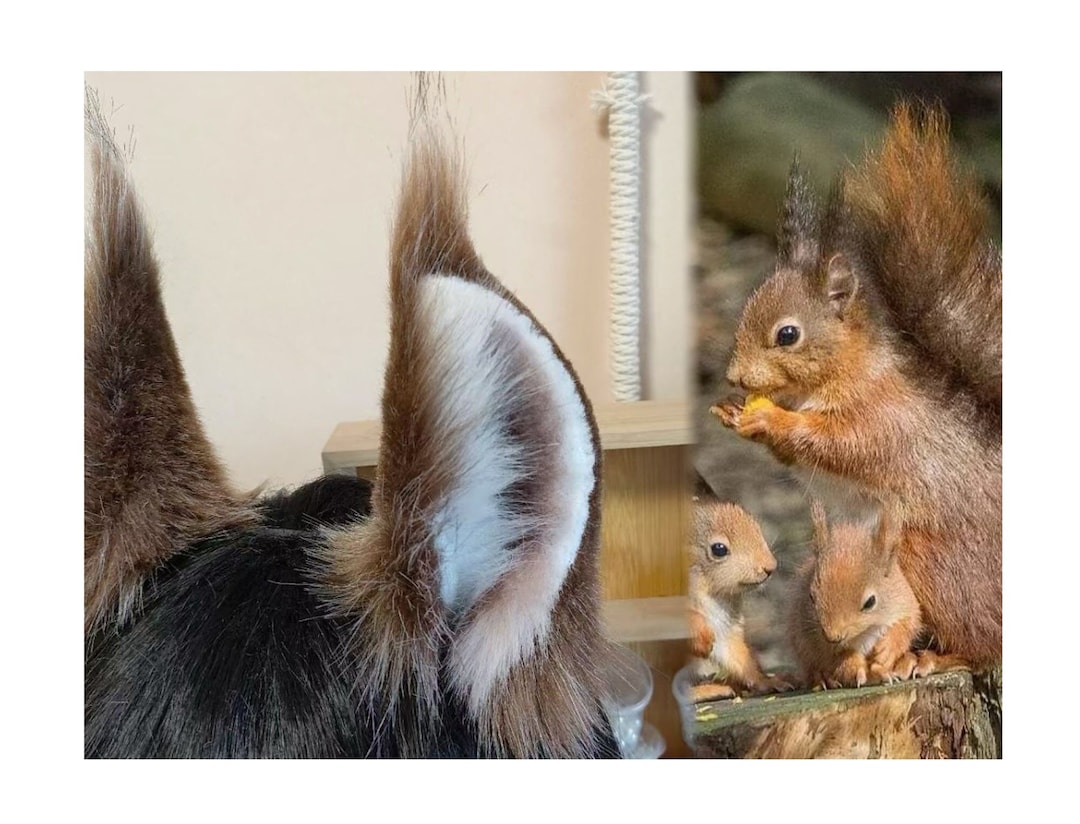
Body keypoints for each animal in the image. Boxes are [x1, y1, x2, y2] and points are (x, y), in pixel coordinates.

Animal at [687, 499, 794, 700]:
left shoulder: (722, 621)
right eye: (719, 549)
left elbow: (735, 653)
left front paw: (767, 681)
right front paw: (700, 635)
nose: (770, 566)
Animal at [710, 102, 1001, 669]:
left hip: (929, 561)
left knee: (984, 638)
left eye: (787, 334)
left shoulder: (883, 416)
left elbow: (842, 443)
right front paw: (735, 413)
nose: (734, 377)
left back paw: (938, 657)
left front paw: (768, 417)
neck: (843, 374)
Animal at [791, 502, 968, 688]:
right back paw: (826, 679)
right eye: (811, 597)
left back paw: (905, 663)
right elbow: (836, 659)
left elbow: (907, 625)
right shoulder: (814, 638)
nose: (833, 636)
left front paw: (887, 650)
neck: (866, 631)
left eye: (870, 602)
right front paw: (858, 670)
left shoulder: (904, 602)